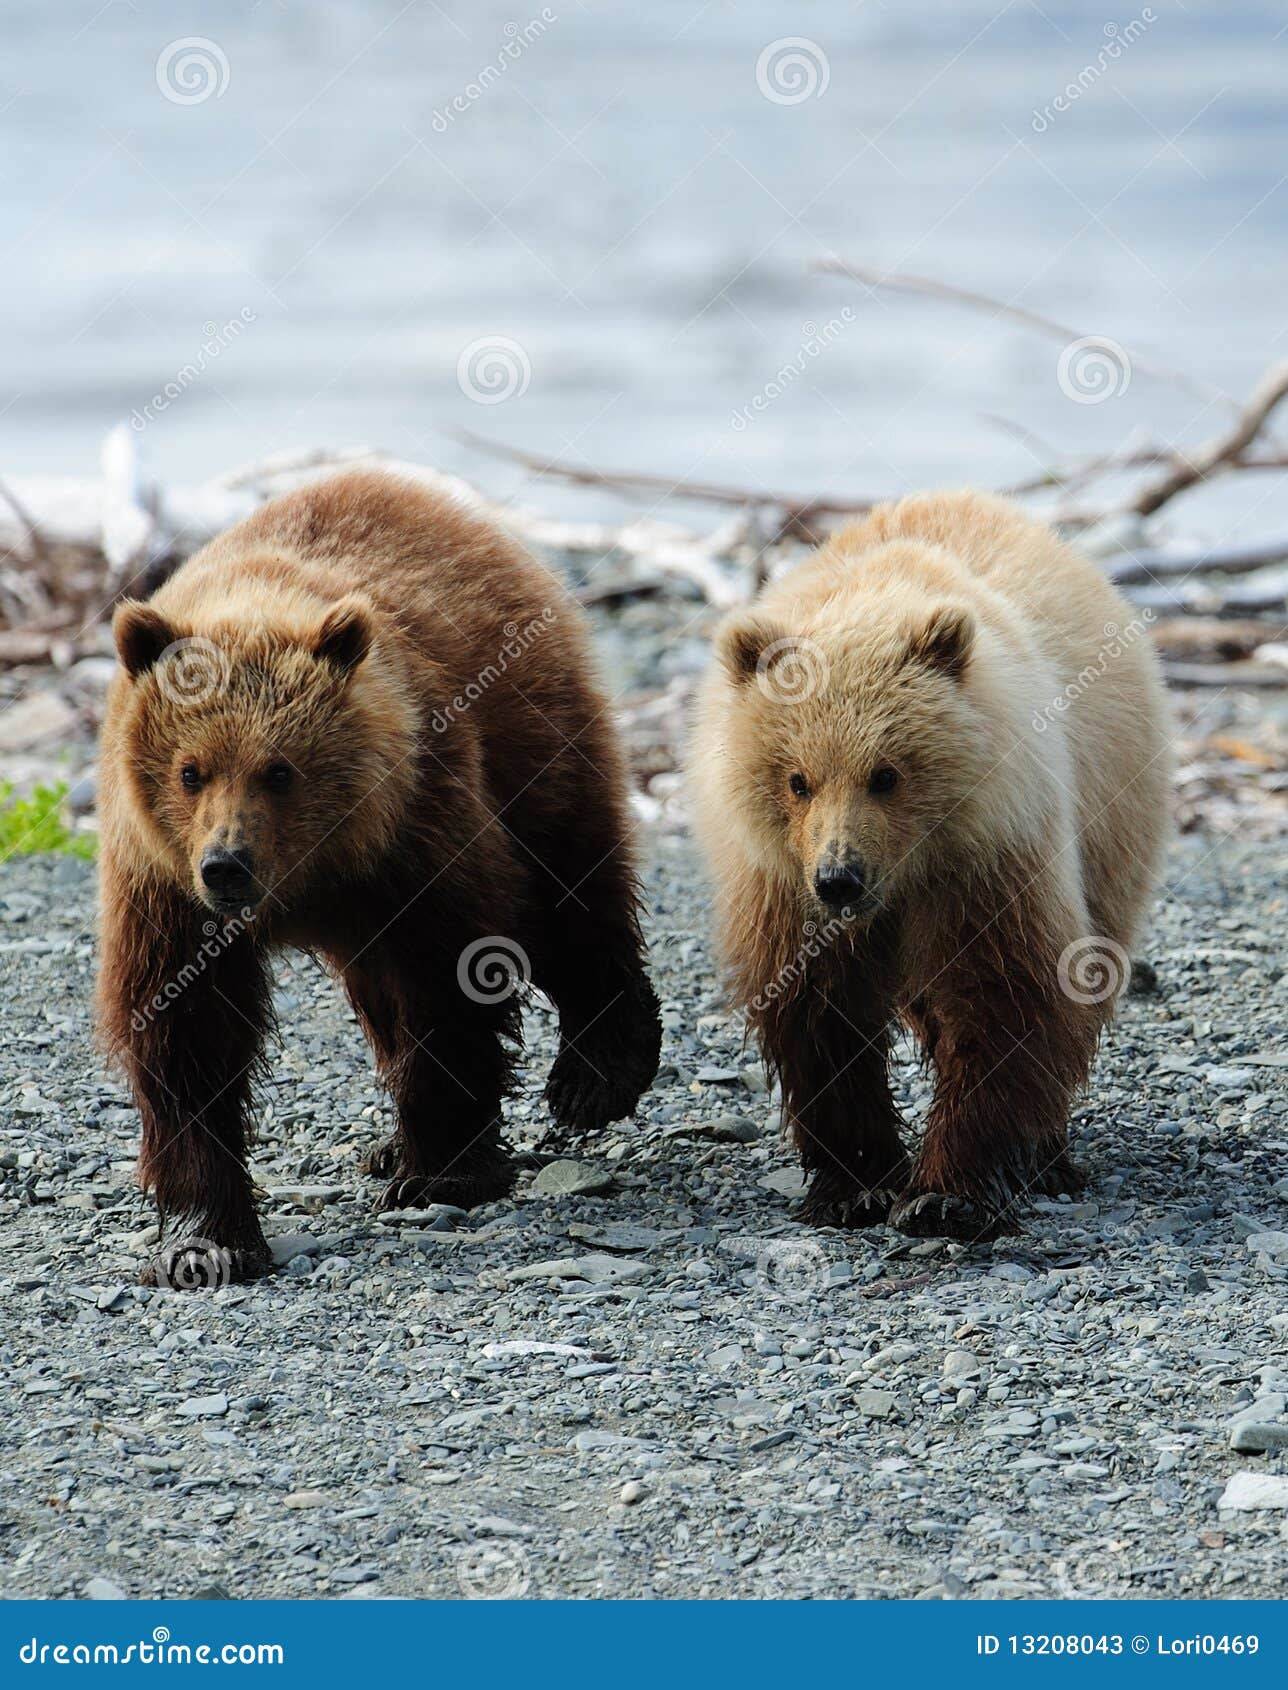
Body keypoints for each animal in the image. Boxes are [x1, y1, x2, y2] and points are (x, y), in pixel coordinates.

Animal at [96, 469, 661, 1286]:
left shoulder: (416, 830)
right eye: (190, 770)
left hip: (529, 732)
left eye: (279, 770)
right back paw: (390, 1142)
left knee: (569, 887)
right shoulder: (161, 884)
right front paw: (206, 1240)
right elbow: (186, 1033)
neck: (310, 875)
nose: (227, 865)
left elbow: (452, 974)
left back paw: (597, 1075)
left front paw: (444, 1169)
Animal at [690, 489, 1171, 1241]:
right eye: (797, 779)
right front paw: (857, 1183)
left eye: (885, 774)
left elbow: (1007, 997)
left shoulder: (989, 862)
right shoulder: (781, 889)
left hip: (1113, 820)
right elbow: (821, 1015)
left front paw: (948, 1193)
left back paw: (1050, 1155)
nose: (840, 877)